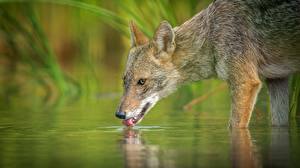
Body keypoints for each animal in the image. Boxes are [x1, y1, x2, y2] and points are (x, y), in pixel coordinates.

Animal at [115, 0, 300, 128]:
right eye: (124, 81)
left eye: (141, 82)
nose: (119, 114)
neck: (211, 35)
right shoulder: (277, 80)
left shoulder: (245, 83)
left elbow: (234, 127)